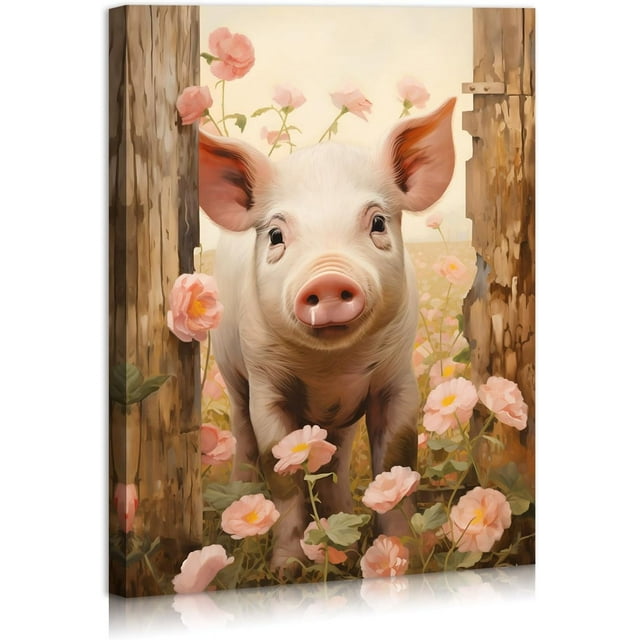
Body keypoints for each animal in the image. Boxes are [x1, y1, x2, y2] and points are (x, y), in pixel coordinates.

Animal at [198, 98, 456, 570]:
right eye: (276, 234)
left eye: (378, 223)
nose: (329, 277)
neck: (330, 368)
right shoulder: (266, 384)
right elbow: (281, 471)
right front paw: (286, 567)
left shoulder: (397, 379)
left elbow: (397, 461)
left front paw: (402, 559)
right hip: (232, 375)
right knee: (244, 435)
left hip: (341, 419)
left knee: (338, 452)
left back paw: (345, 534)